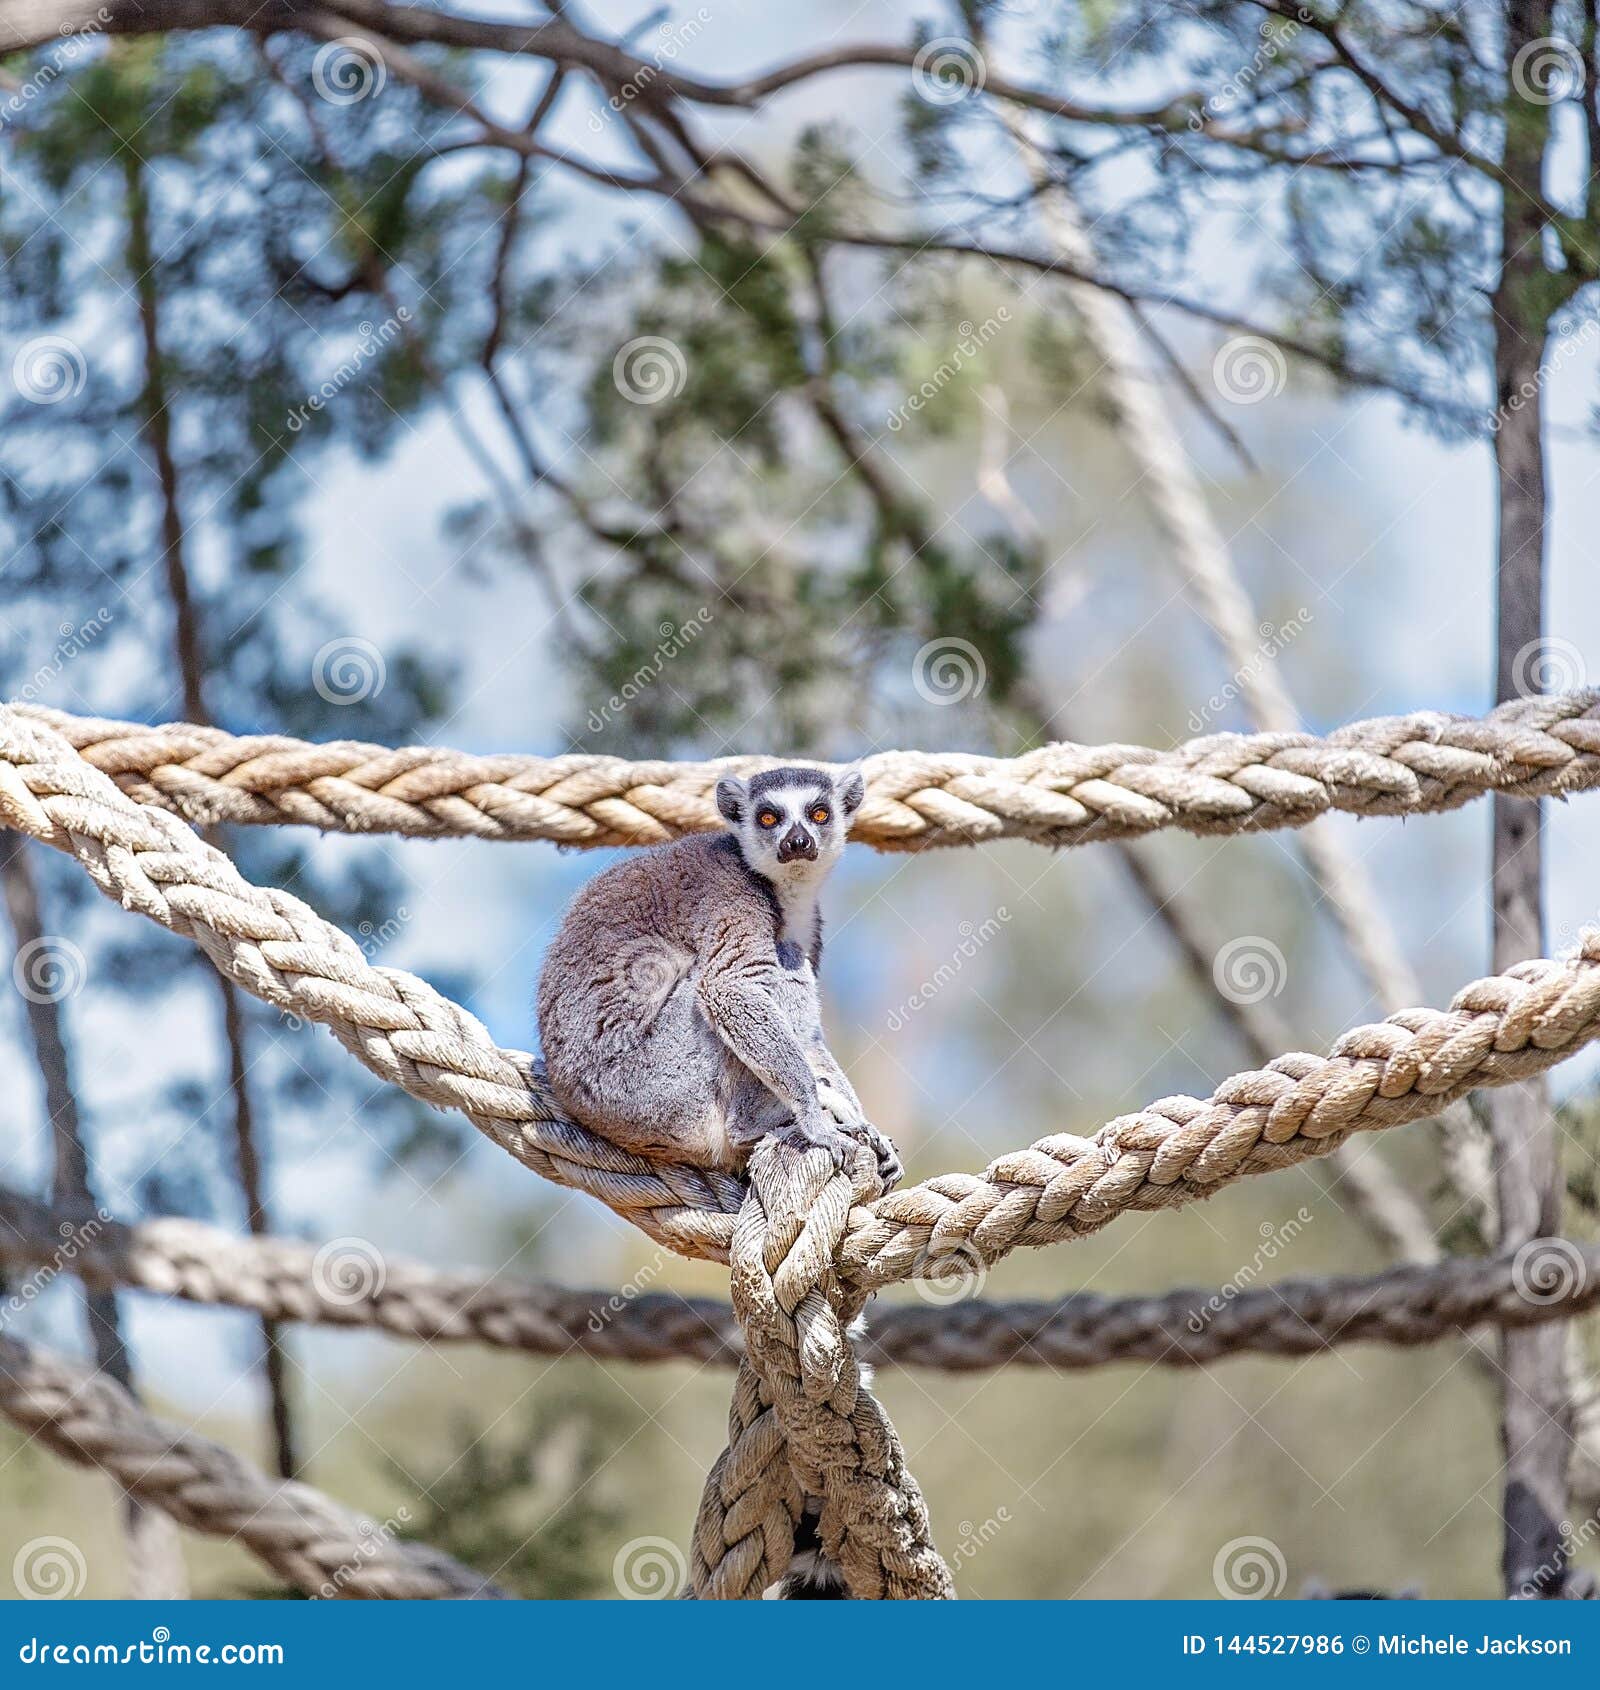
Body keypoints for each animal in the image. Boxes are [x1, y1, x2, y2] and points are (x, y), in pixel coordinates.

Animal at [536, 764, 902, 1192]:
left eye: (819, 814)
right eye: (768, 818)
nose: (797, 842)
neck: (783, 891)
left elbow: (810, 1038)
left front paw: (864, 1123)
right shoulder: (732, 898)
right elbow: (730, 986)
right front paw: (814, 1118)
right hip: (655, 1088)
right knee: (773, 969)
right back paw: (755, 1122)